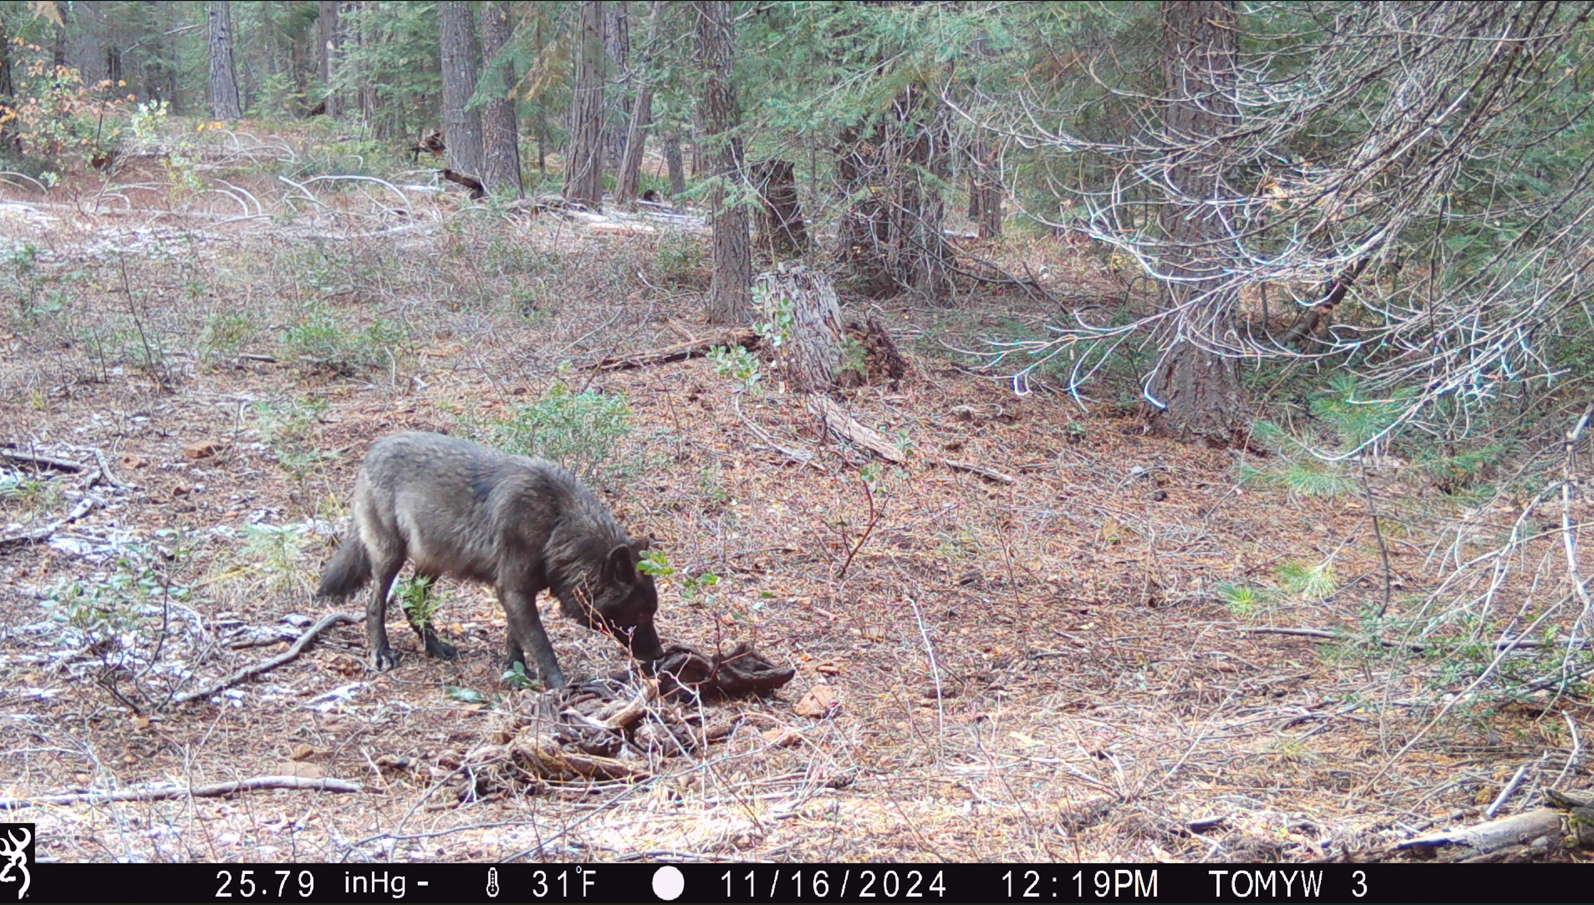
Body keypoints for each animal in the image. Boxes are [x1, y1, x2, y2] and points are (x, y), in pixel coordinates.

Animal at [316, 431, 663, 688]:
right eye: (640, 613)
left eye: (651, 611)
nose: (660, 654)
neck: (556, 526)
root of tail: (374, 449)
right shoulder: (513, 589)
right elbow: (541, 644)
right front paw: (560, 688)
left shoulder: (514, 591)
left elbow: (515, 637)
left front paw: (516, 673)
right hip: (391, 558)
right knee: (374, 604)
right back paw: (381, 653)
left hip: (433, 564)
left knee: (411, 602)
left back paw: (435, 647)